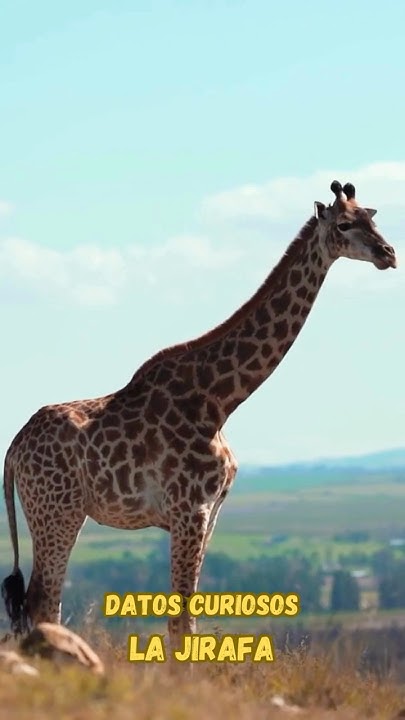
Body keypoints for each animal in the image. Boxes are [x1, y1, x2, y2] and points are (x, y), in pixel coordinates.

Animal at [1, 180, 397, 652]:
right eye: (343, 225)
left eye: (372, 217)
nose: (389, 254)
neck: (220, 400)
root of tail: (14, 448)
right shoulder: (190, 509)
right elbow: (181, 623)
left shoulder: (211, 513)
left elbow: (186, 619)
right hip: (57, 512)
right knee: (41, 602)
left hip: (55, 513)